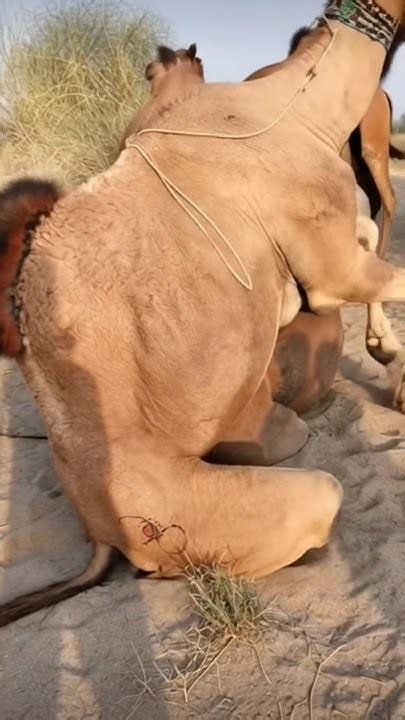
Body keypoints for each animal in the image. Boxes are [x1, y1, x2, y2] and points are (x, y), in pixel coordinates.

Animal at [1, 0, 405, 626]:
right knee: (313, 492)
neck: (298, 107)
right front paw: (393, 366)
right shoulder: (329, 258)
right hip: (177, 510)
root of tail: (98, 534)